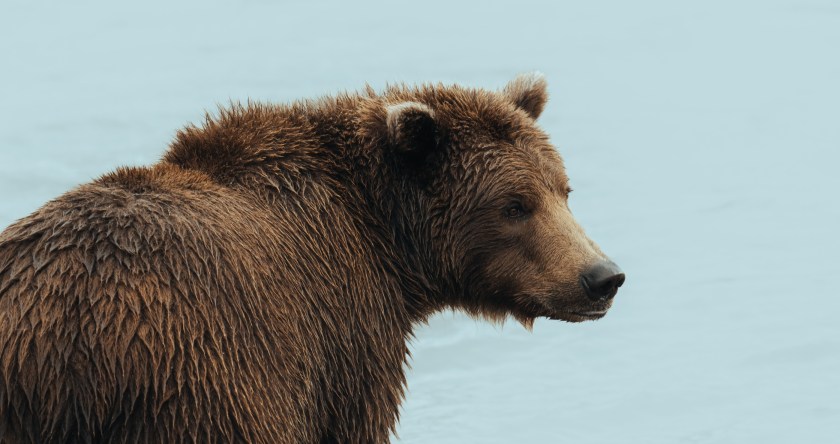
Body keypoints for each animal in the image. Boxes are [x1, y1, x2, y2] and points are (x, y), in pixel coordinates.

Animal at [0, 73, 624, 443]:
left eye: (563, 190)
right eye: (514, 205)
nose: (602, 277)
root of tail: (60, 337)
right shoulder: (341, 334)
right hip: (192, 380)